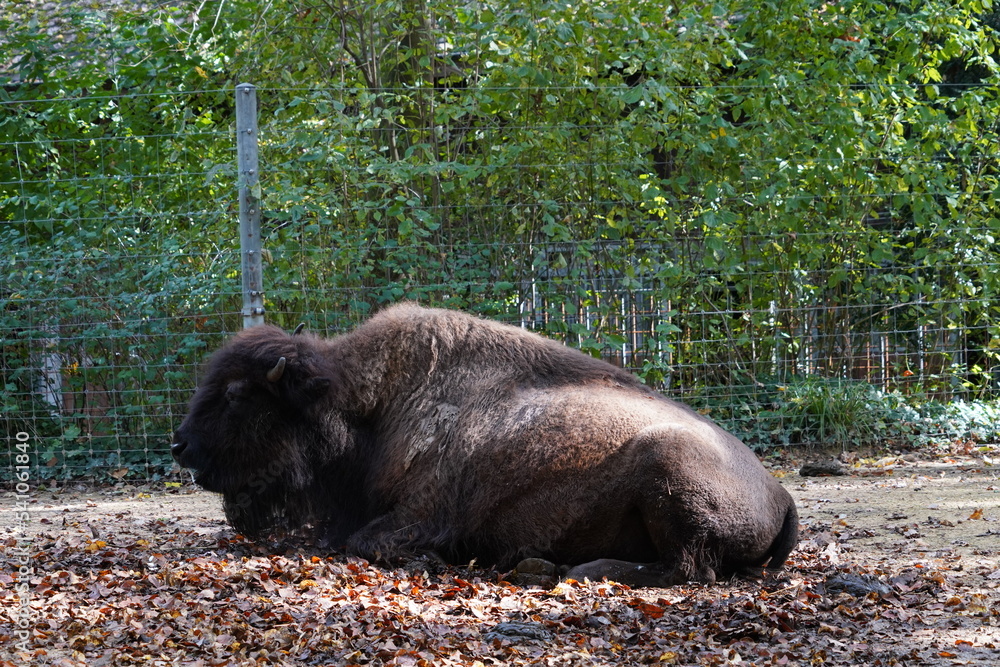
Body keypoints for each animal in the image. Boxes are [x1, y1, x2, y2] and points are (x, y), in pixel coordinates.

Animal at [171, 304, 797, 586]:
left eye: (235, 395)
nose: (181, 448)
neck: (367, 403)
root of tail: (782, 494)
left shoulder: (421, 515)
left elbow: (363, 541)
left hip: (668, 474)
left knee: (687, 569)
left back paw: (569, 566)